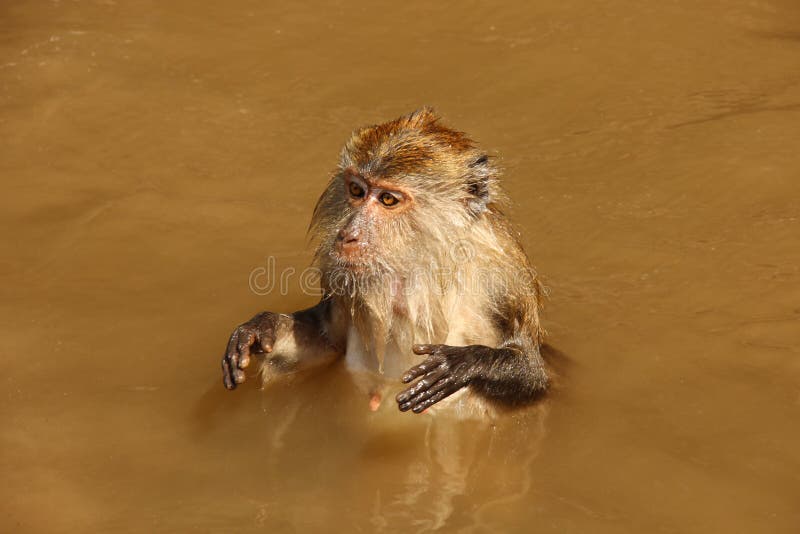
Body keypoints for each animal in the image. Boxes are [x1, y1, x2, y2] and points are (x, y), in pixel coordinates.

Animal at [221, 108, 549, 417]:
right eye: (357, 190)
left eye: (388, 199)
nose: (347, 235)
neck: (424, 267)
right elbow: (326, 340)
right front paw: (261, 328)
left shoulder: (503, 281)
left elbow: (534, 376)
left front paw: (460, 363)